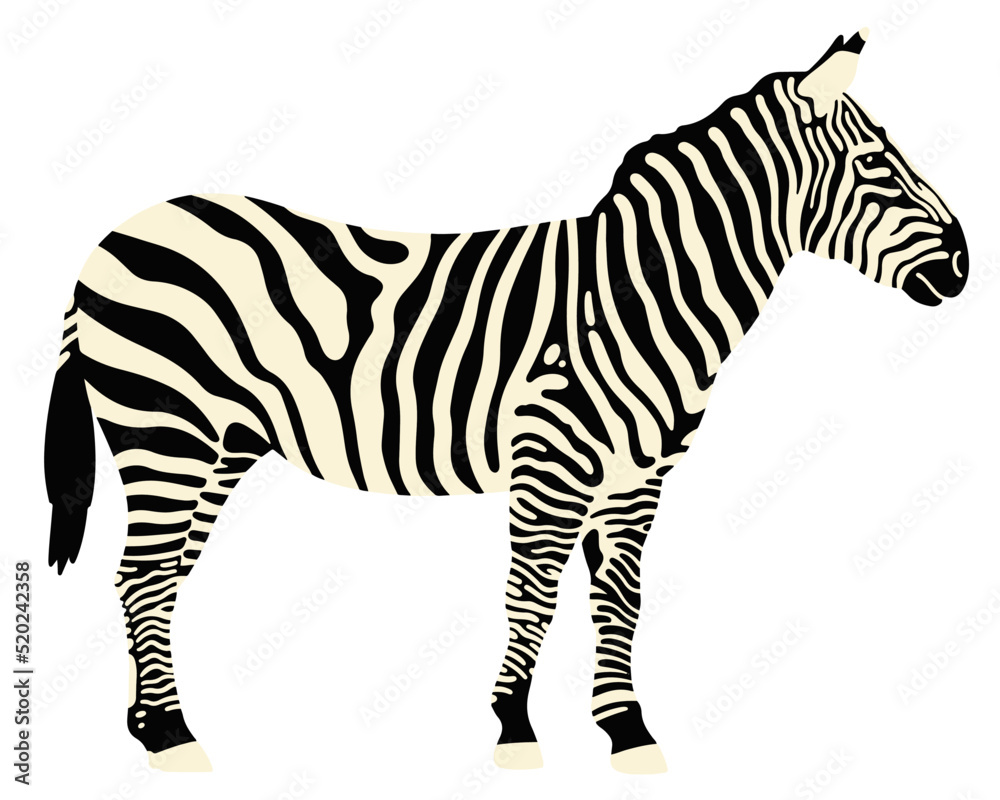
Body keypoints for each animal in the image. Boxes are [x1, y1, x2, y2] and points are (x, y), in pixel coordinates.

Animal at [44, 28, 968, 774]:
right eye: (878, 167)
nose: (964, 265)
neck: (641, 295)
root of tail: (108, 239)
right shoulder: (552, 462)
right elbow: (534, 594)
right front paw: (516, 728)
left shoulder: (636, 480)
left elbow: (619, 602)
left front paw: (627, 733)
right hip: (166, 429)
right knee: (142, 572)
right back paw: (171, 737)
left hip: (219, 444)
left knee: (156, 575)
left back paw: (147, 725)